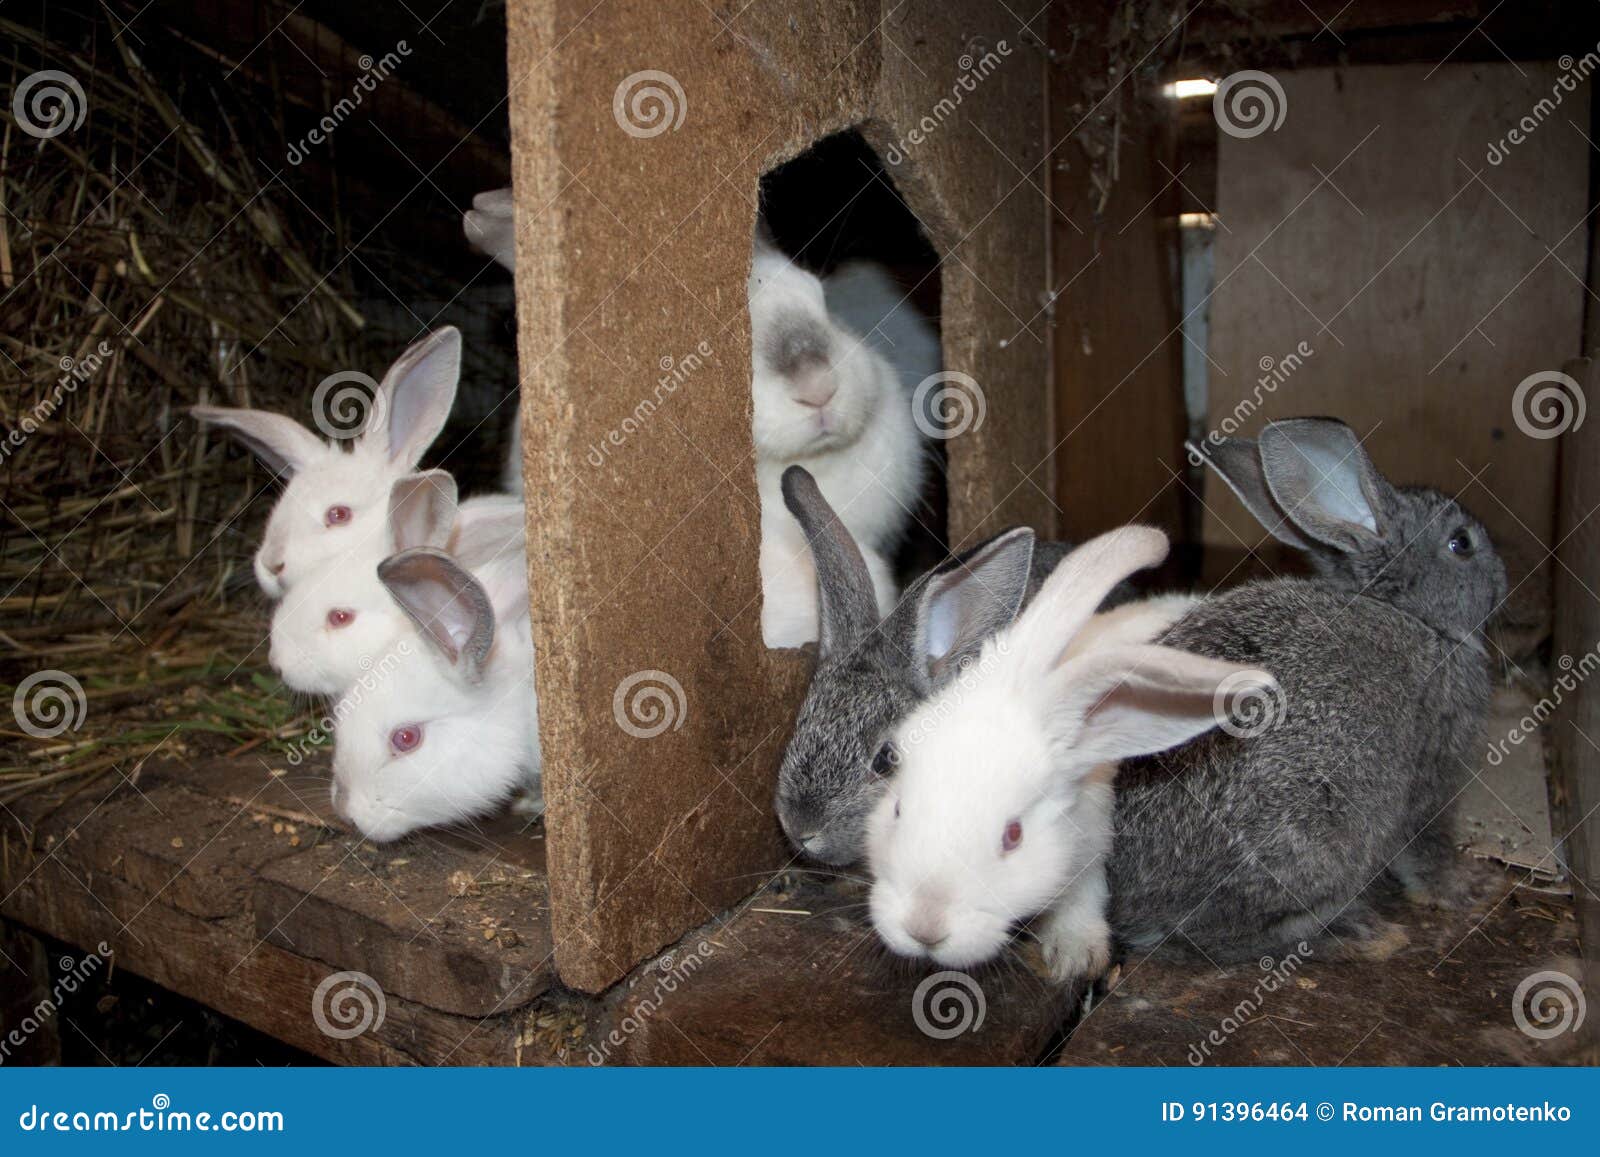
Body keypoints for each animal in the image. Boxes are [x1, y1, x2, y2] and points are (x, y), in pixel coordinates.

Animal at [866, 526, 1269, 984]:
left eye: (1014, 836)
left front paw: (1077, 956)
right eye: (898, 810)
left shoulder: (1089, 851)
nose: (925, 927)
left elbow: (1081, 900)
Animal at [1105, 417, 1507, 963]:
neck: (1416, 617)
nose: (1503, 577)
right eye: (1460, 544)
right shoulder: (1434, 775)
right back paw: (1355, 931)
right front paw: (1464, 890)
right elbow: (1427, 849)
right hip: (1312, 842)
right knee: (1212, 939)